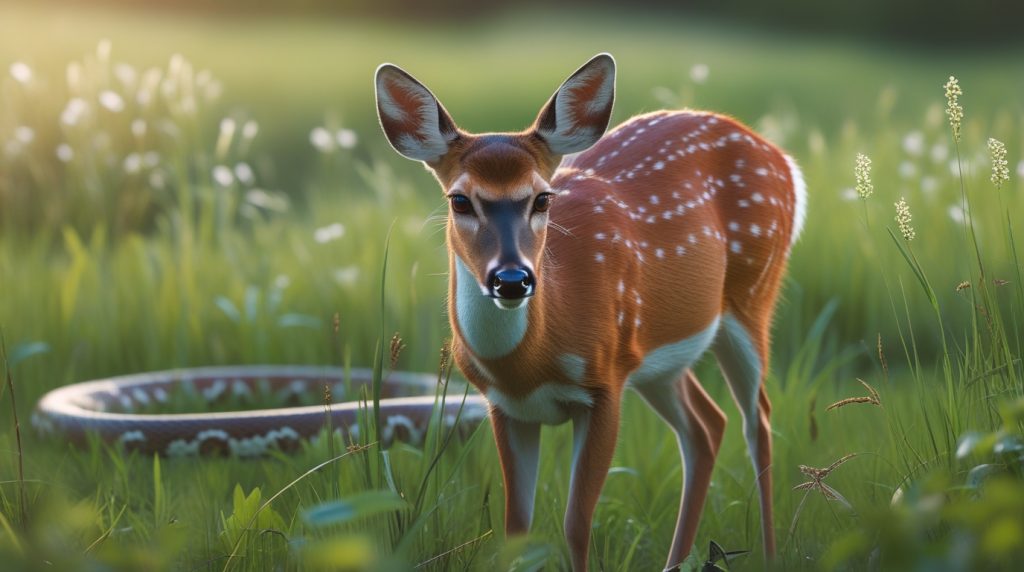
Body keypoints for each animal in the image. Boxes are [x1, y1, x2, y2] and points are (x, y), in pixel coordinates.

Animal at [374, 53, 806, 571]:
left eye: (542, 197)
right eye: (460, 200)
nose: (512, 279)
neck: (530, 361)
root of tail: (783, 159)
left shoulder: (604, 386)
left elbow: (576, 525)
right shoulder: (505, 406)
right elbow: (516, 527)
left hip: (751, 296)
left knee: (757, 420)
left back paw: (771, 553)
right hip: (658, 358)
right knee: (708, 425)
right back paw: (676, 561)